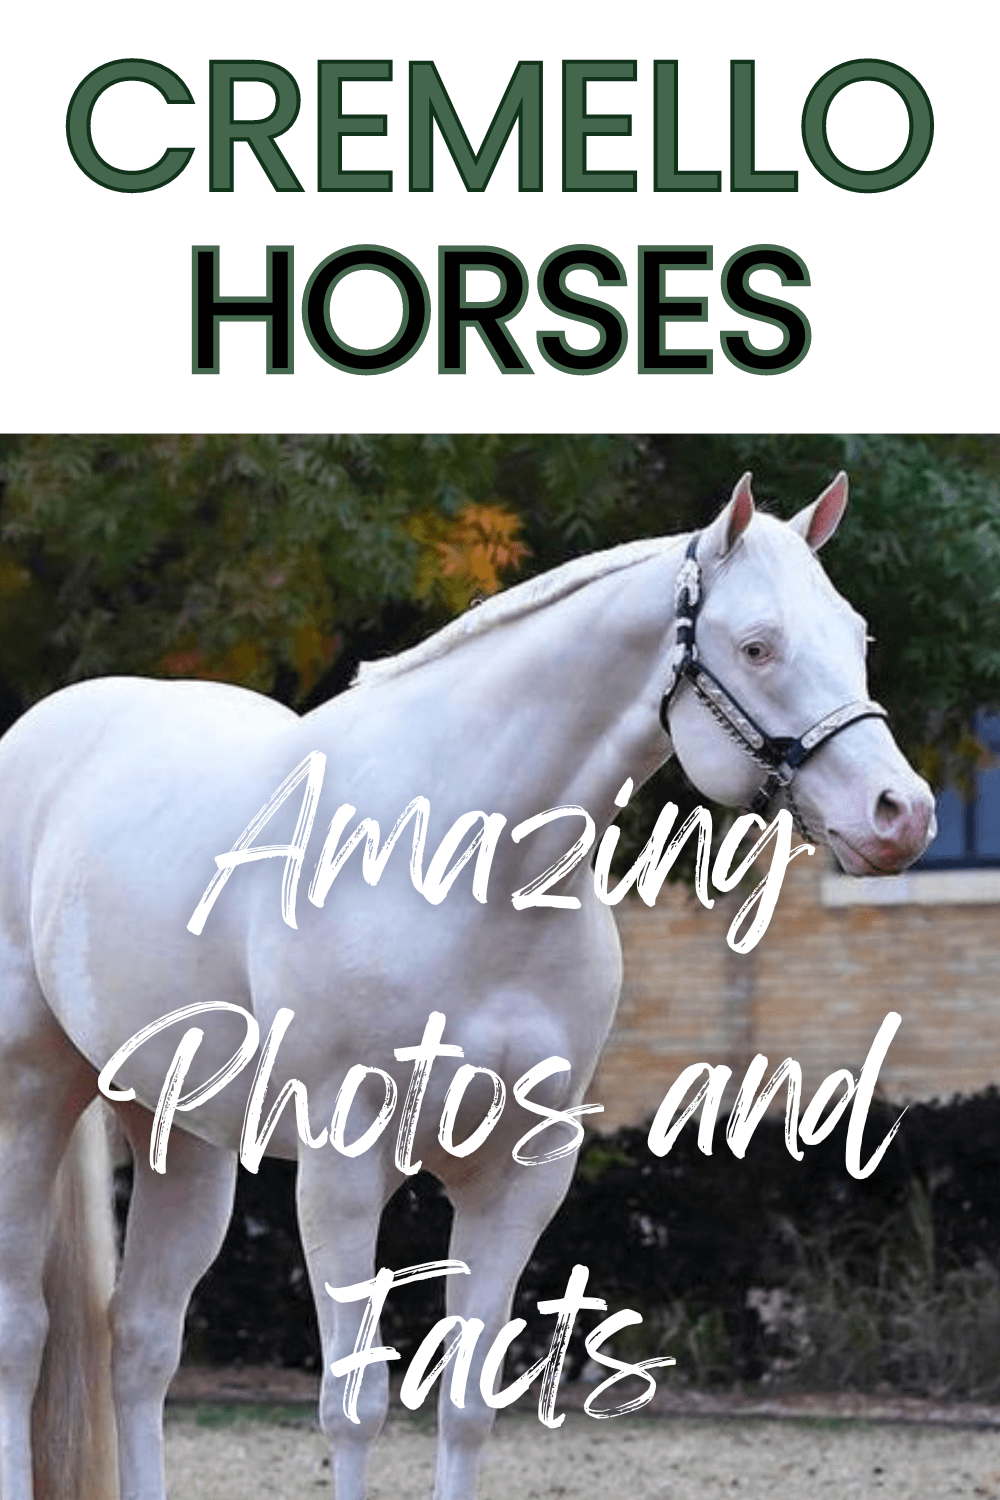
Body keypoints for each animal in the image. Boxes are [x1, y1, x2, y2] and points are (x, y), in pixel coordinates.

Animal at [0, 472, 935, 1500]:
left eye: (856, 637)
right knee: (24, 1335)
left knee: (139, 1342)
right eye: (758, 646)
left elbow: (467, 1406)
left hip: (183, 1139)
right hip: (30, 1102)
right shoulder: (340, 1169)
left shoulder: (519, 1177)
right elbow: (354, 1405)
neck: (468, 871)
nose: (901, 814)